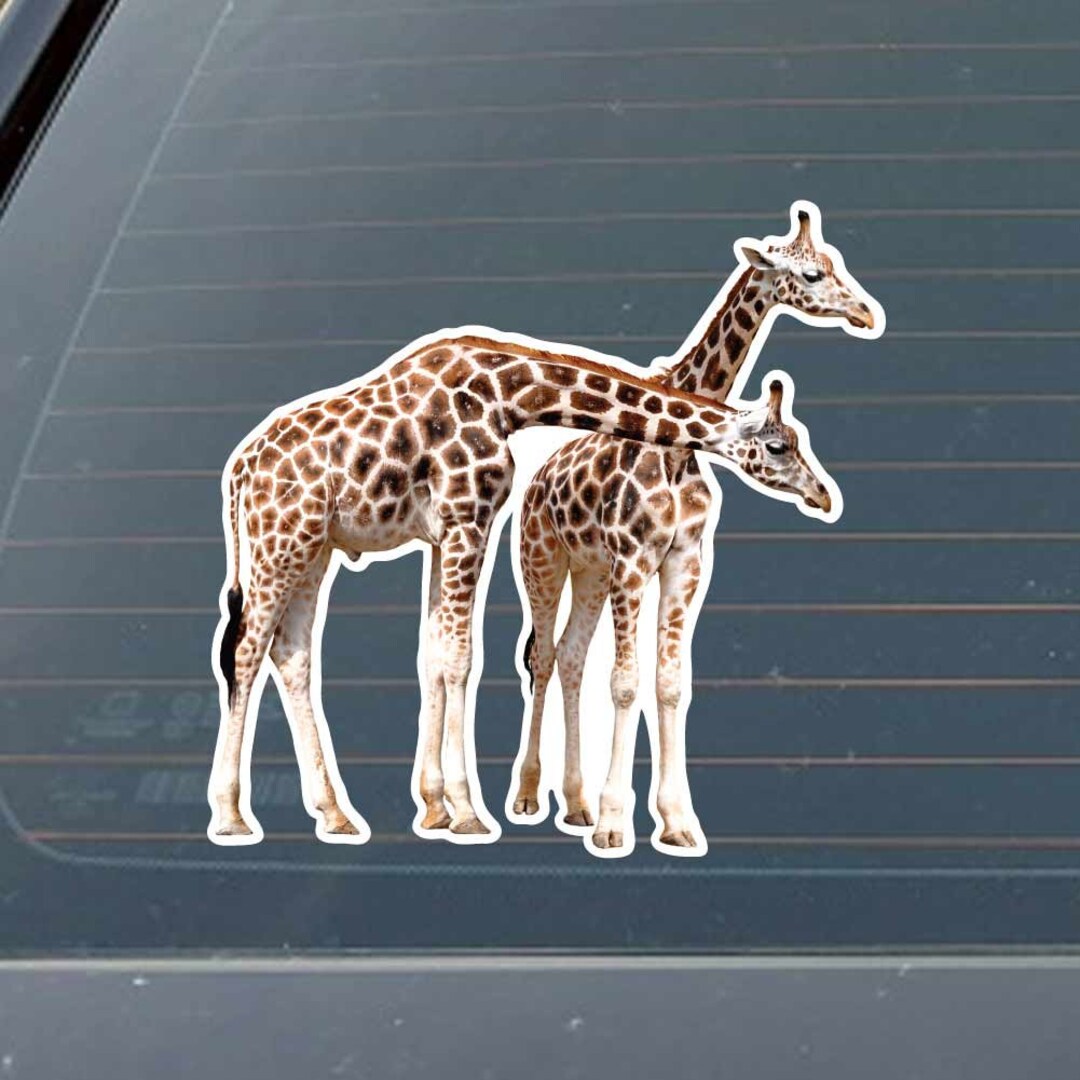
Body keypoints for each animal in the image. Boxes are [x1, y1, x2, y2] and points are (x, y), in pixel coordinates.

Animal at [207, 324, 846, 847]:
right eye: (778, 446)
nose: (824, 496)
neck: (509, 397)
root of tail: (237, 470)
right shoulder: (467, 518)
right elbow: (461, 657)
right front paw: (467, 813)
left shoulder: (449, 530)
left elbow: (439, 652)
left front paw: (440, 808)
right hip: (280, 542)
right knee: (245, 650)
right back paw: (231, 815)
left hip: (313, 549)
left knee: (291, 654)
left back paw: (335, 814)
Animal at [508, 201, 884, 857]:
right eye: (810, 275)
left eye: (834, 261)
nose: (866, 313)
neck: (680, 448)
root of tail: (534, 485)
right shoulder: (635, 559)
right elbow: (626, 681)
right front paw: (615, 823)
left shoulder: (685, 560)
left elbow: (670, 683)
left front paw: (676, 821)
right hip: (544, 562)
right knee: (545, 658)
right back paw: (532, 797)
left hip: (591, 573)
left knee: (574, 657)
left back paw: (574, 804)